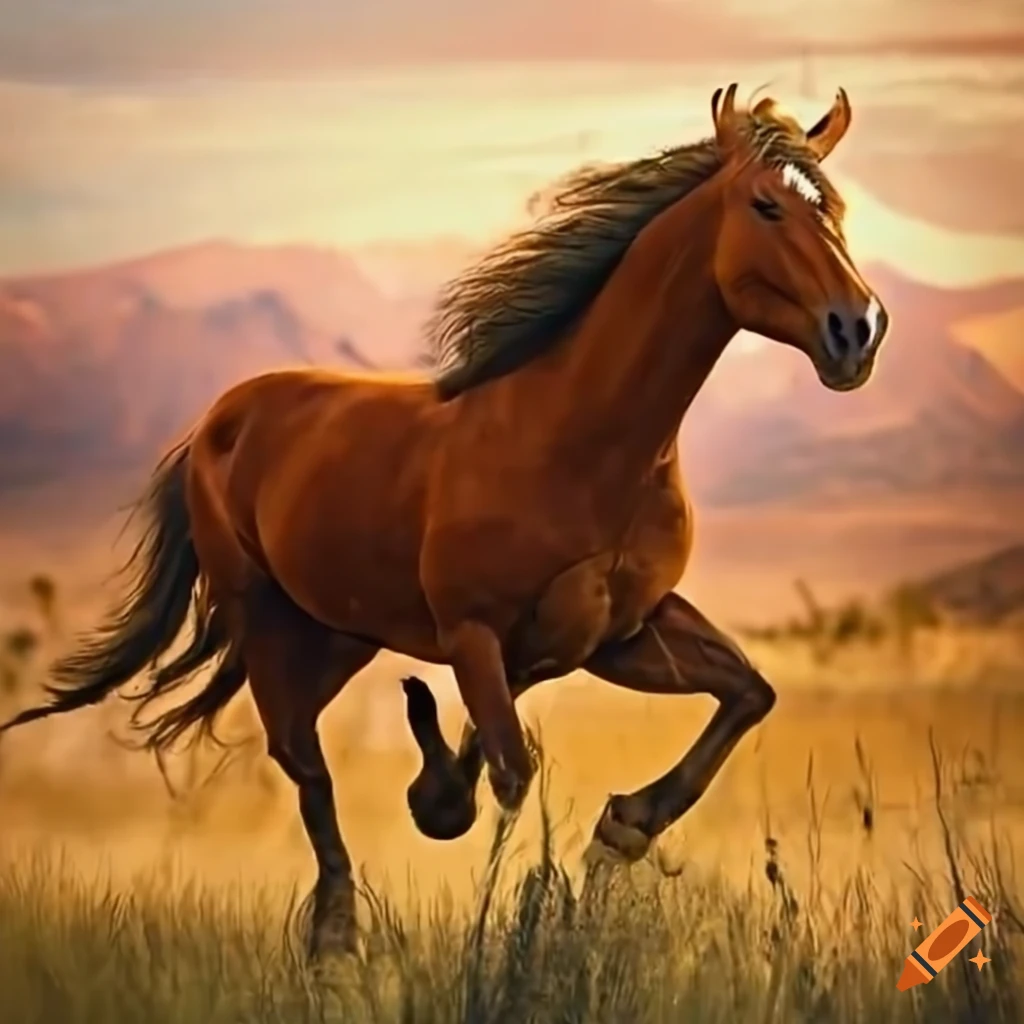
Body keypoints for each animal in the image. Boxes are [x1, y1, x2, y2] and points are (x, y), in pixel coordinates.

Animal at [0, 83, 889, 958]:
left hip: (342, 633)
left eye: (838, 209)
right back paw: (336, 939)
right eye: (766, 206)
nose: (858, 329)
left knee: (318, 753)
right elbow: (510, 778)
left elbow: (746, 692)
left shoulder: (621, 634)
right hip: (269, 624)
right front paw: (512, 924)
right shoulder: (474, 633)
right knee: (304, 763)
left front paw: (619, 829)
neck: (577, 438)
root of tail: (216, 423)